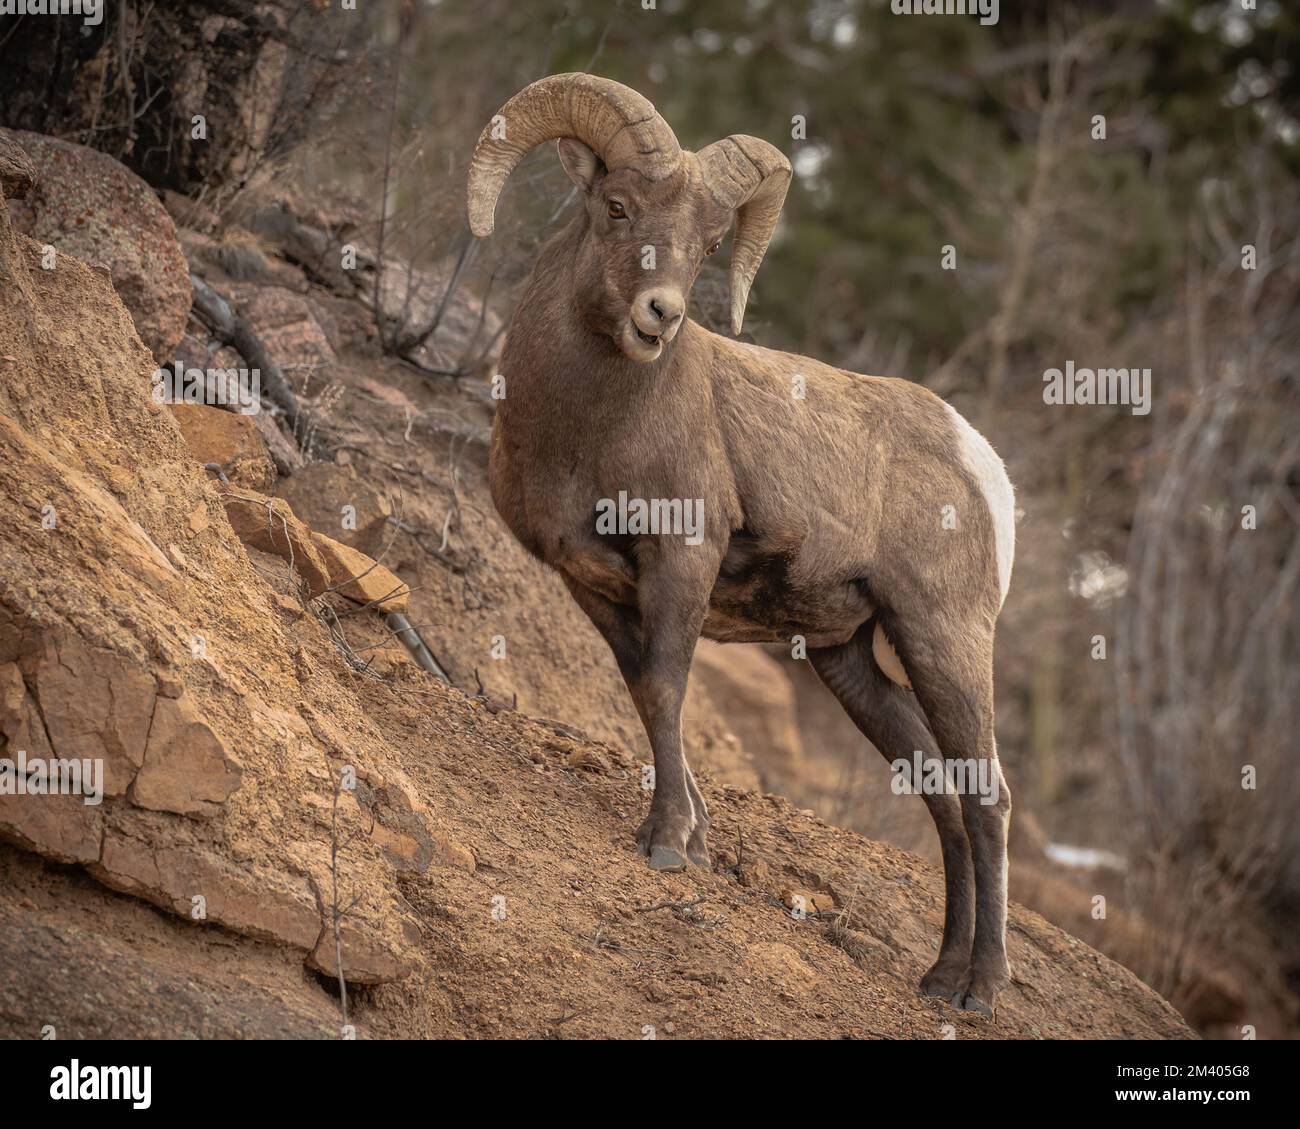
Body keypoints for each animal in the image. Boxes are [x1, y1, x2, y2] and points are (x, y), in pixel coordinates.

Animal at [467, 73, 1017, 1016]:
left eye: (708, 242)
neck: (583, 430)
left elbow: (667, 689)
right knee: (941, 795)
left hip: (943, 639)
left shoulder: (682, 561)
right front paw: (692, 838)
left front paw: (667, 843)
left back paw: (981, 991)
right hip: (850, 660)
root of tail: (984, 466)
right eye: (616, 206)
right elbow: (646, 694)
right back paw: (938, 979)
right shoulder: (592, 583)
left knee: (986, 798)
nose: (661, 316)